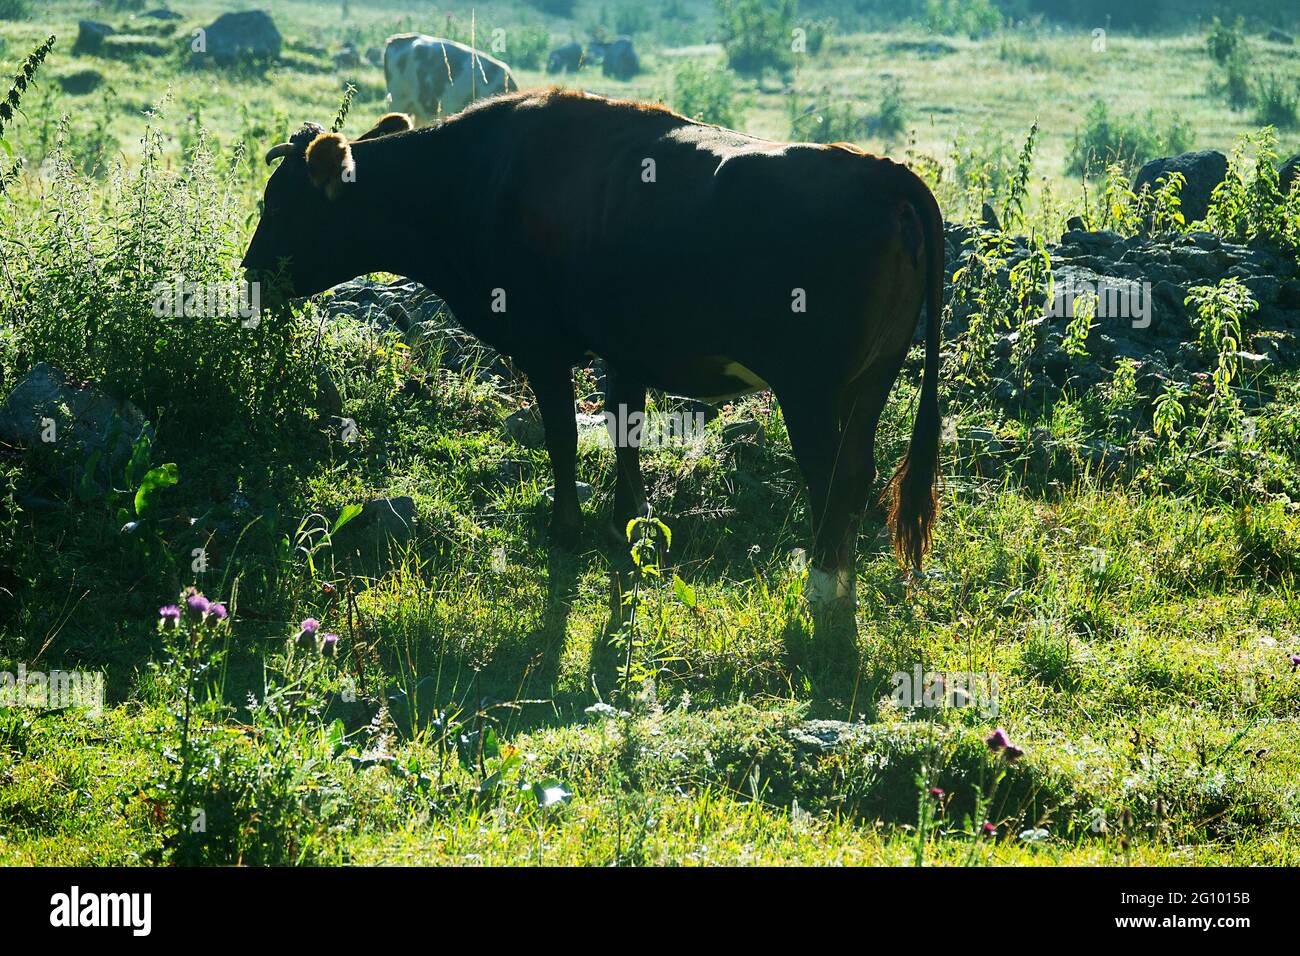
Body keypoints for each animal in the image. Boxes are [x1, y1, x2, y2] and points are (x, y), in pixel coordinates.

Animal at [243, 90, 944, 650]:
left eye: (280, 206)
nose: (249, 275)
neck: (474, 179)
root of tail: (882, 172)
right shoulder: (624, 351)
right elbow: (624, 434)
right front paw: (630, 531)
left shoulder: (542, 346)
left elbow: (563, 437)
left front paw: (566, 530)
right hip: (872, 379)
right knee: (860, 471)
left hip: (808, 389)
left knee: (835, 476)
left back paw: (825, 588)